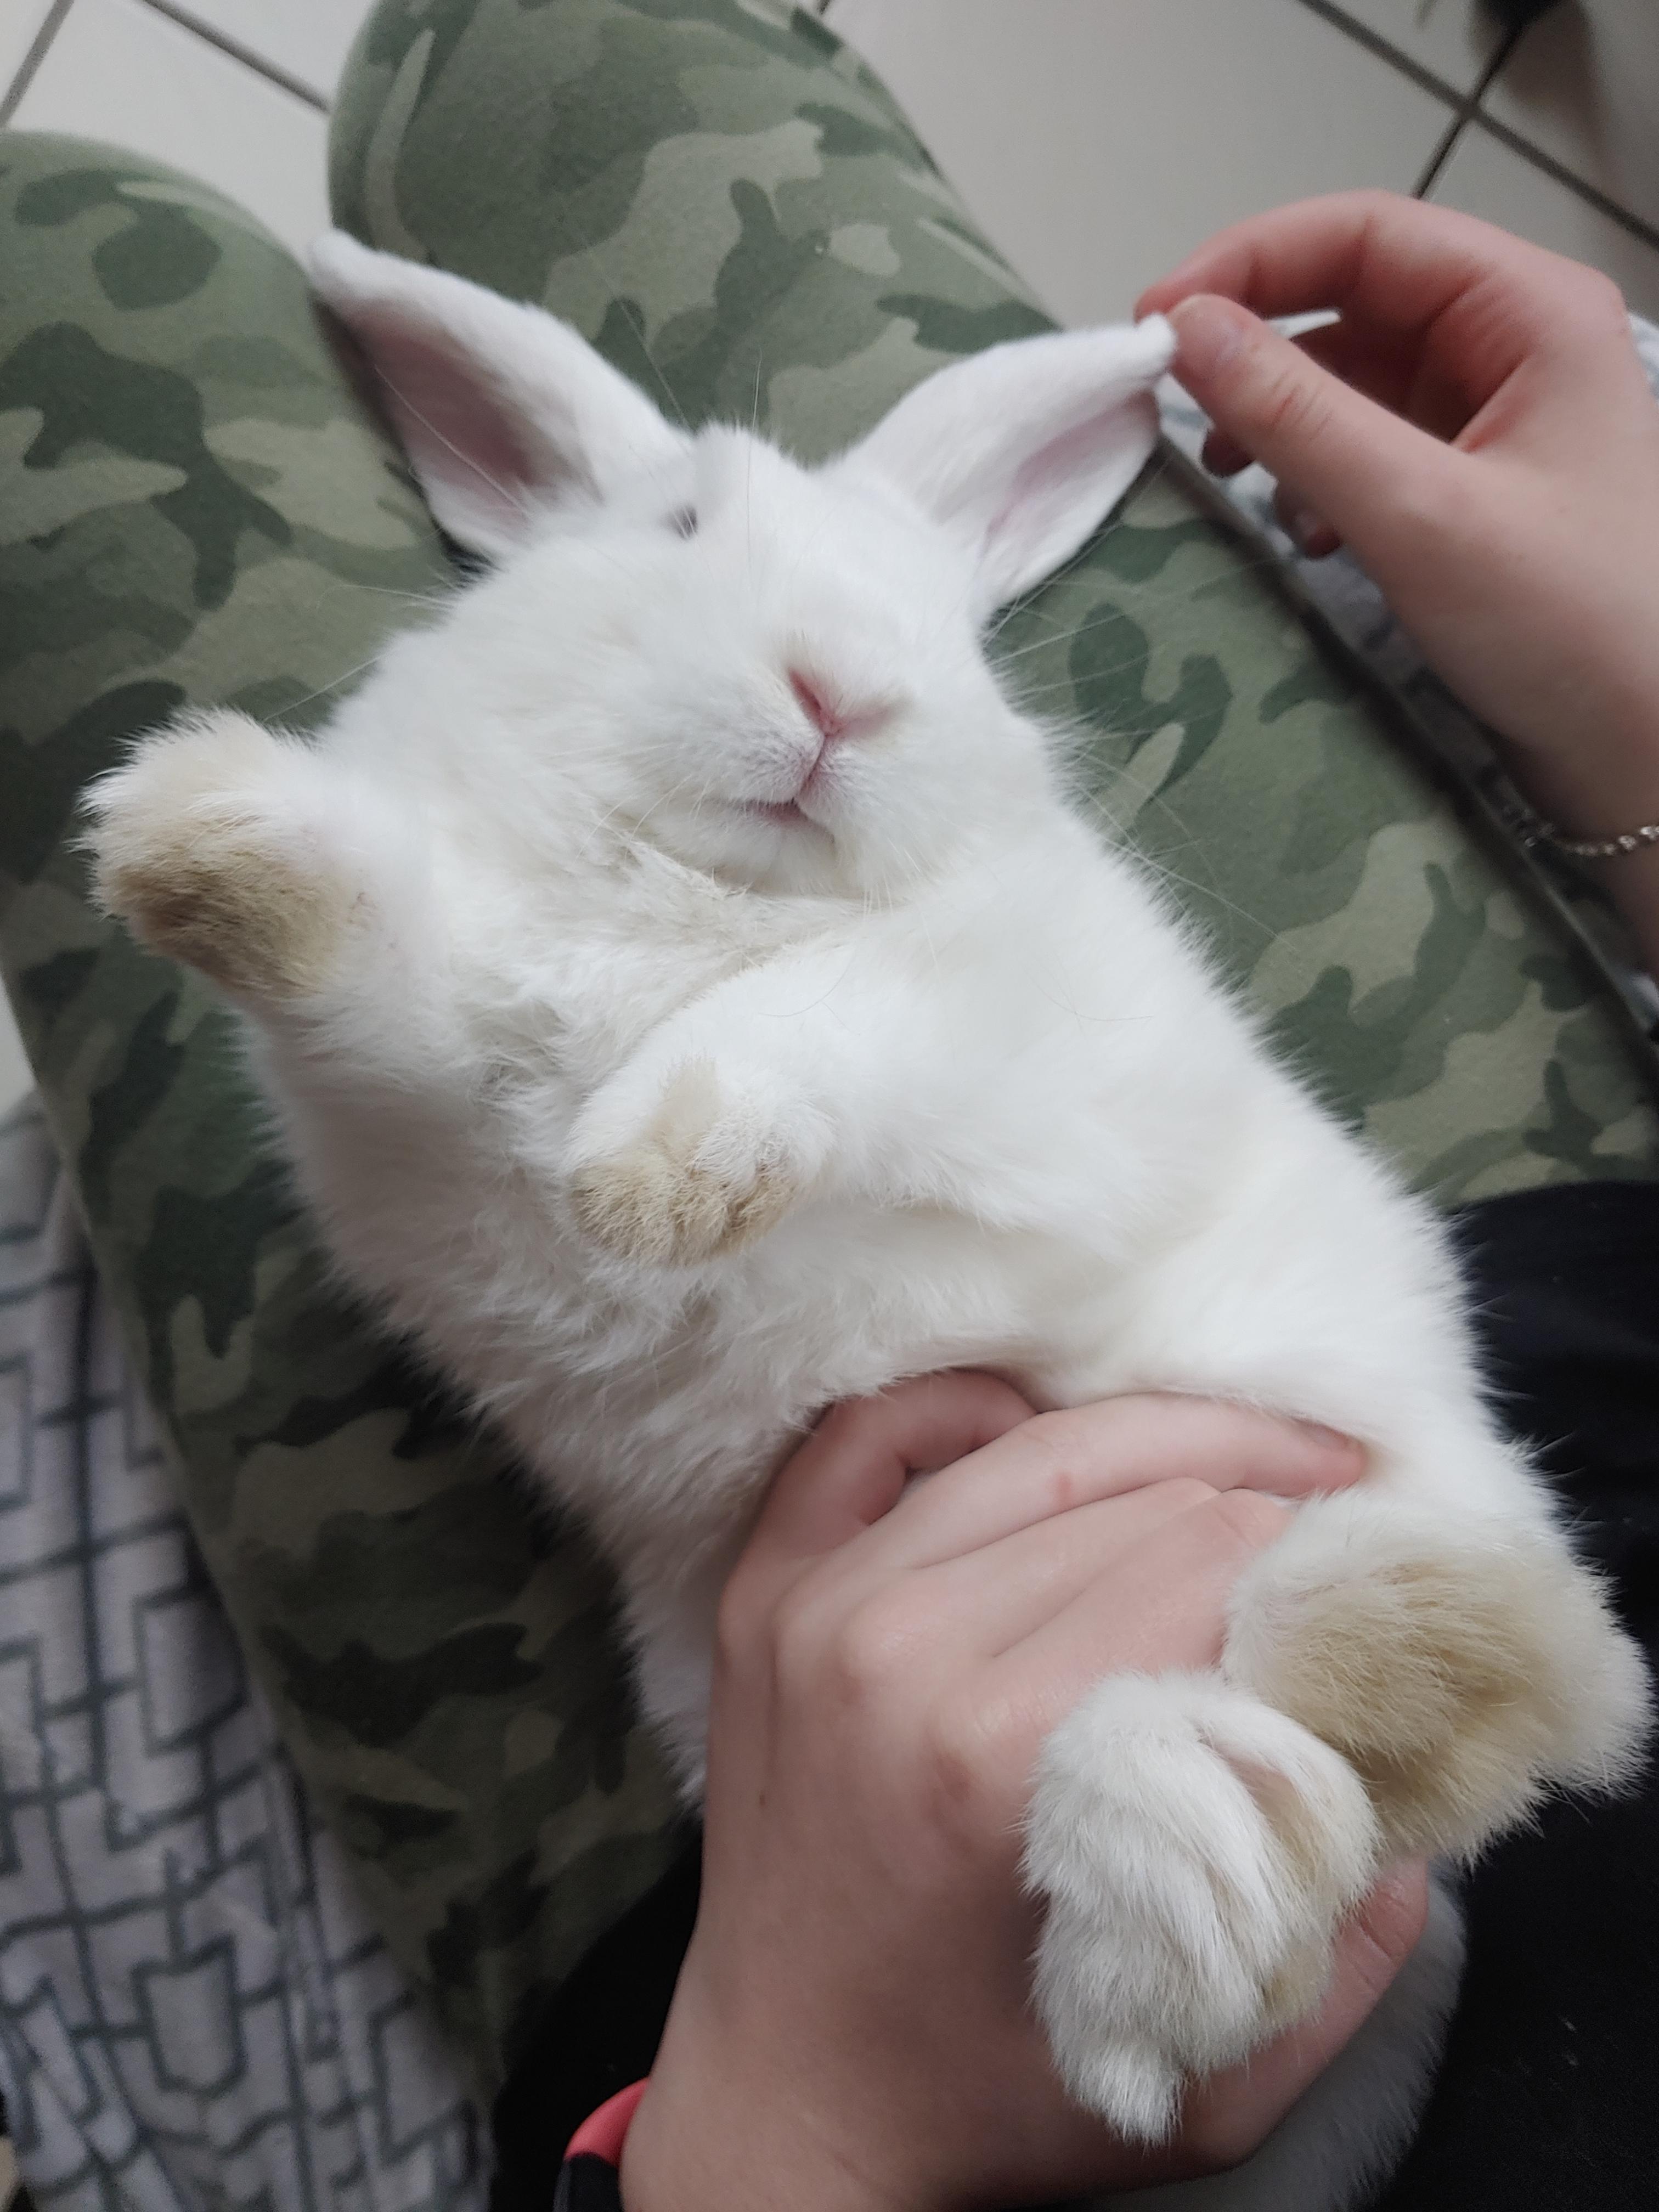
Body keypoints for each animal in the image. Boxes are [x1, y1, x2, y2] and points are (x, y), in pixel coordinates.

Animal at [84, 231, 1649, 2212]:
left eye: (955, 636)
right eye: (677, 526)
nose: (841, 696)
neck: (704, 898)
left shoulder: (1019, 1032)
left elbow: (829, 1018)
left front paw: (650, 1173)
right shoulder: (404, 1089)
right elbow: (390, 960)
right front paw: (193, 839)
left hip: (1371, 1425)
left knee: (1518, 1672)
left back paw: (1371, 1681)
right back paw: (1217, 1853)